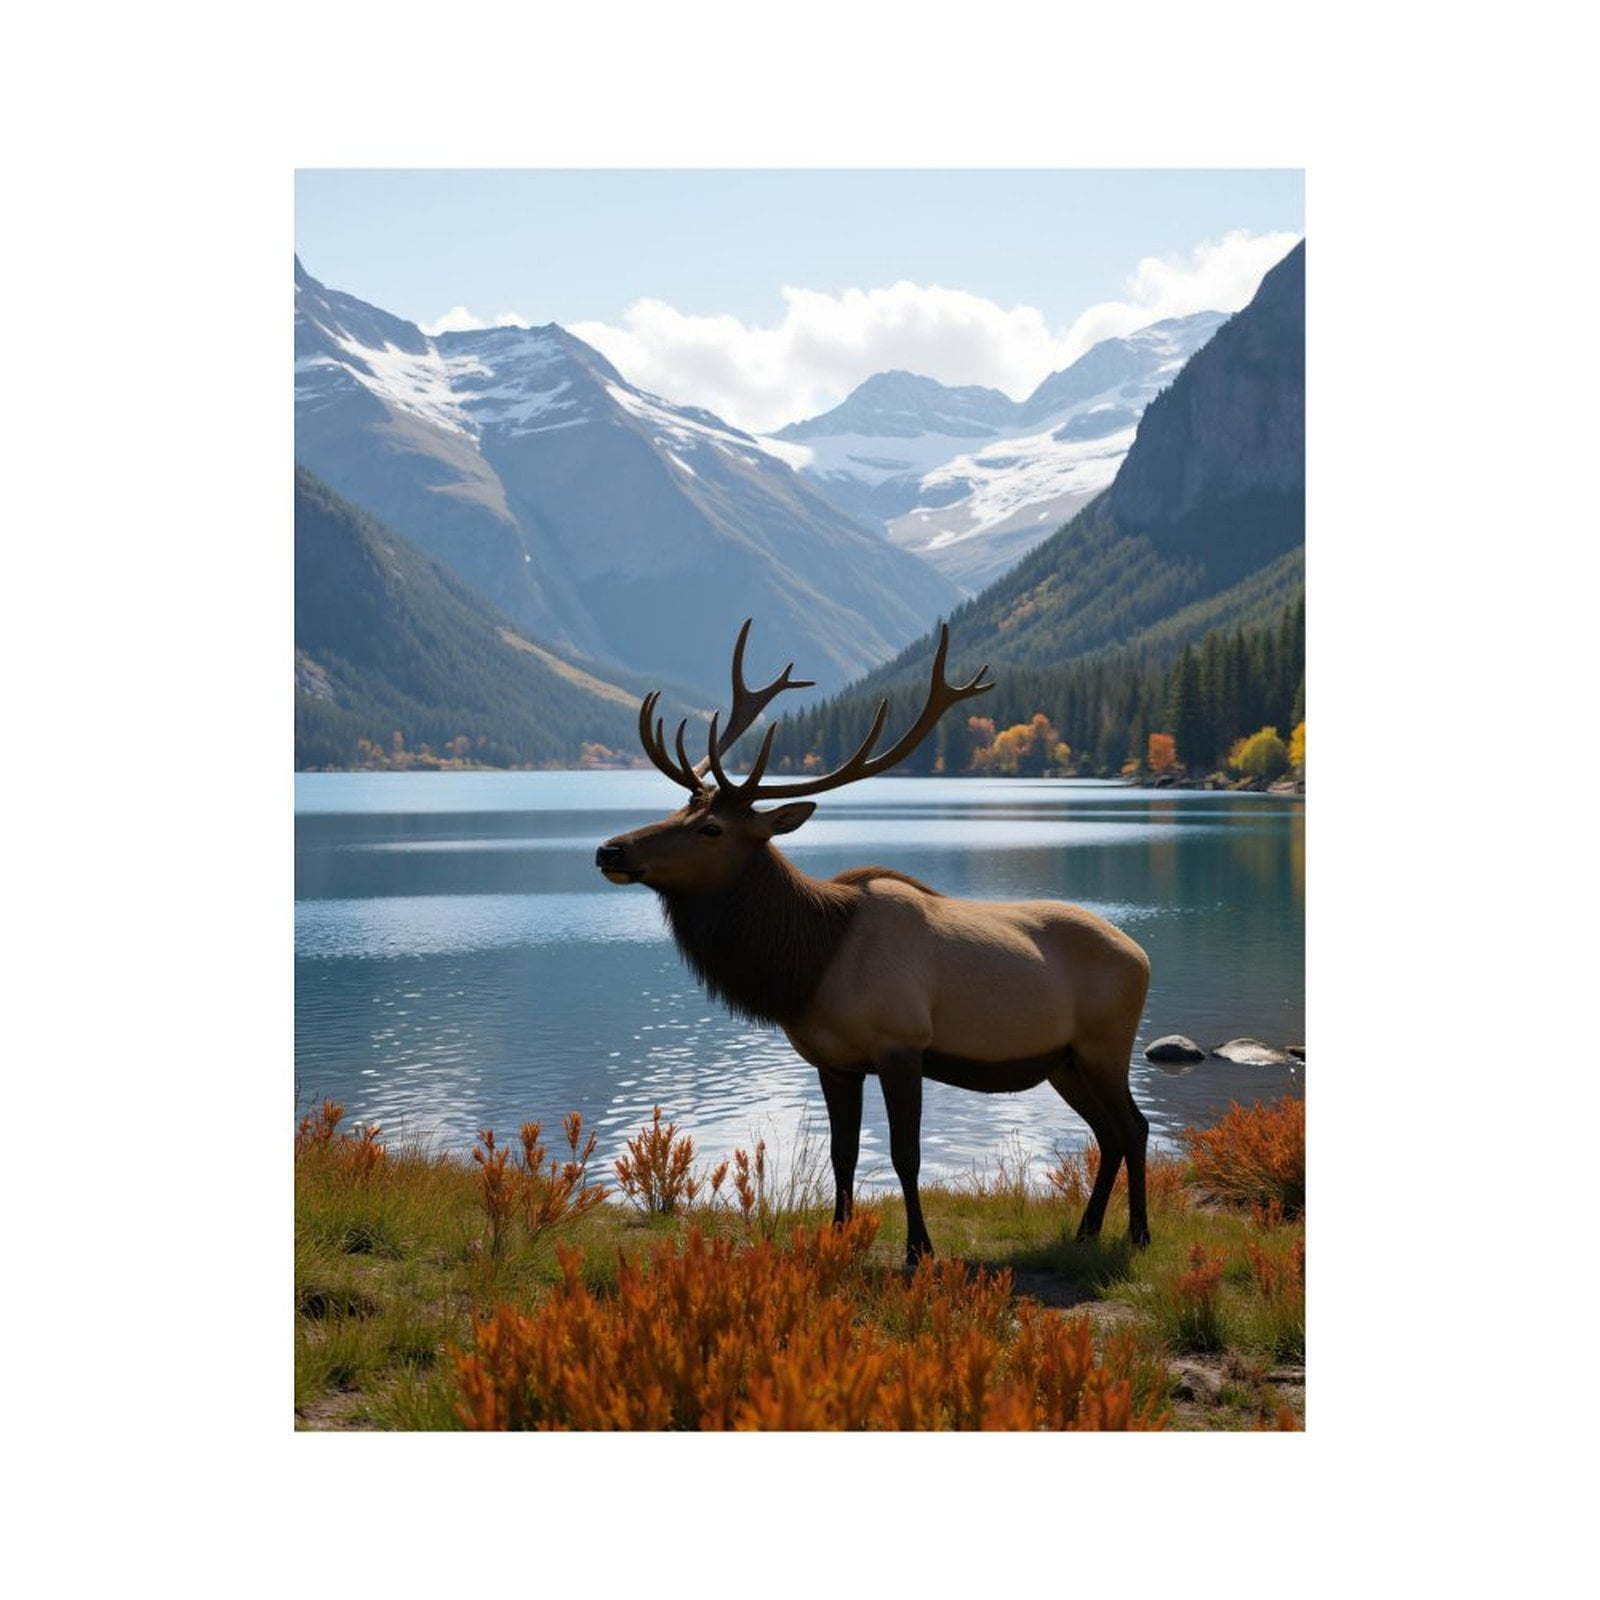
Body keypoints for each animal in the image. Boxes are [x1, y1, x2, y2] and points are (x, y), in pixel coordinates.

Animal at [595, 620, 1153, 1266]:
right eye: (677, 808)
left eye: (711, 828)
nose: (609, 849)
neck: (807, 965)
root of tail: (1143, 956)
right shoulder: (834, 1061)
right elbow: (844, 1154)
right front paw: (837, 1239)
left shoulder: (901, 1042)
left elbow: (905, 1156)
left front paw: (919, 1250)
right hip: (1064, 1060)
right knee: (1108, 1132)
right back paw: (1086, 1230)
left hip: (1105, 1044)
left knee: (1133, 1126)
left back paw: (1138, 1234)